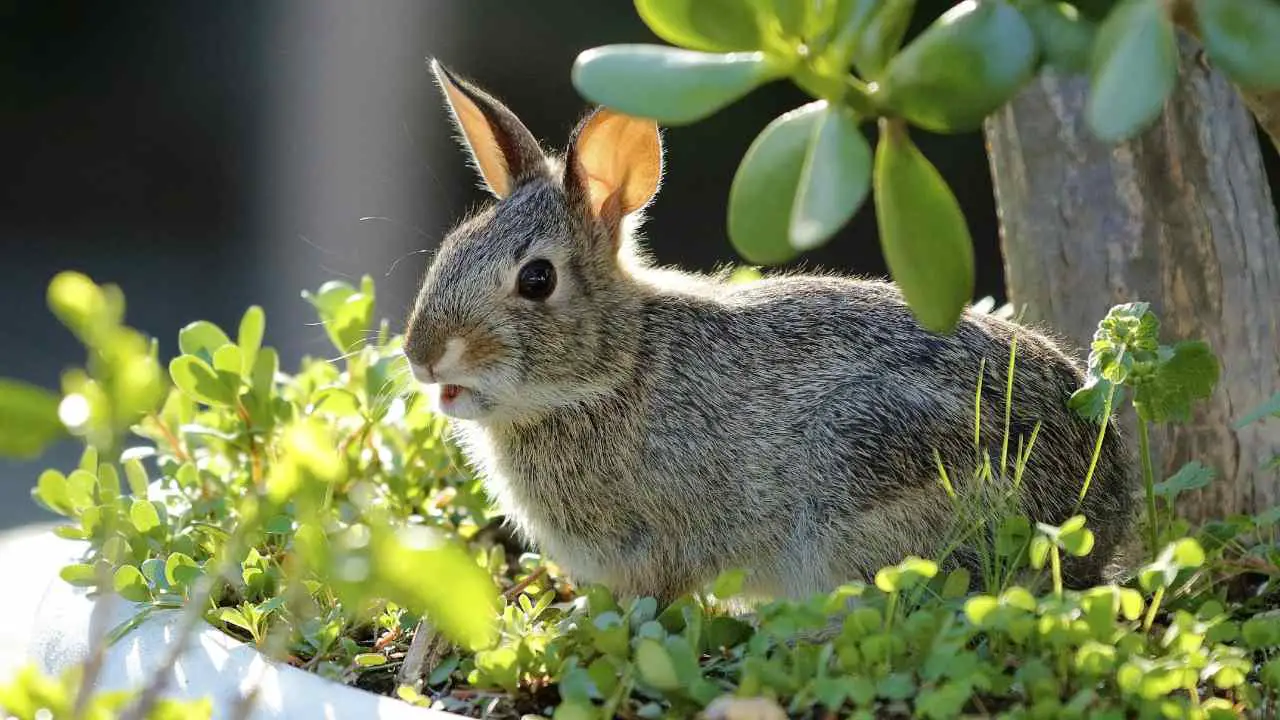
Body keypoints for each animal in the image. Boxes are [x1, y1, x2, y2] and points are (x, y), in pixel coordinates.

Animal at [402, 60, 1137, 606]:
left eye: (537, 280)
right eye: (453, 246)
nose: (421, 356)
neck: (616, 368)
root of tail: (1098, 512)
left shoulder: (656, 549)